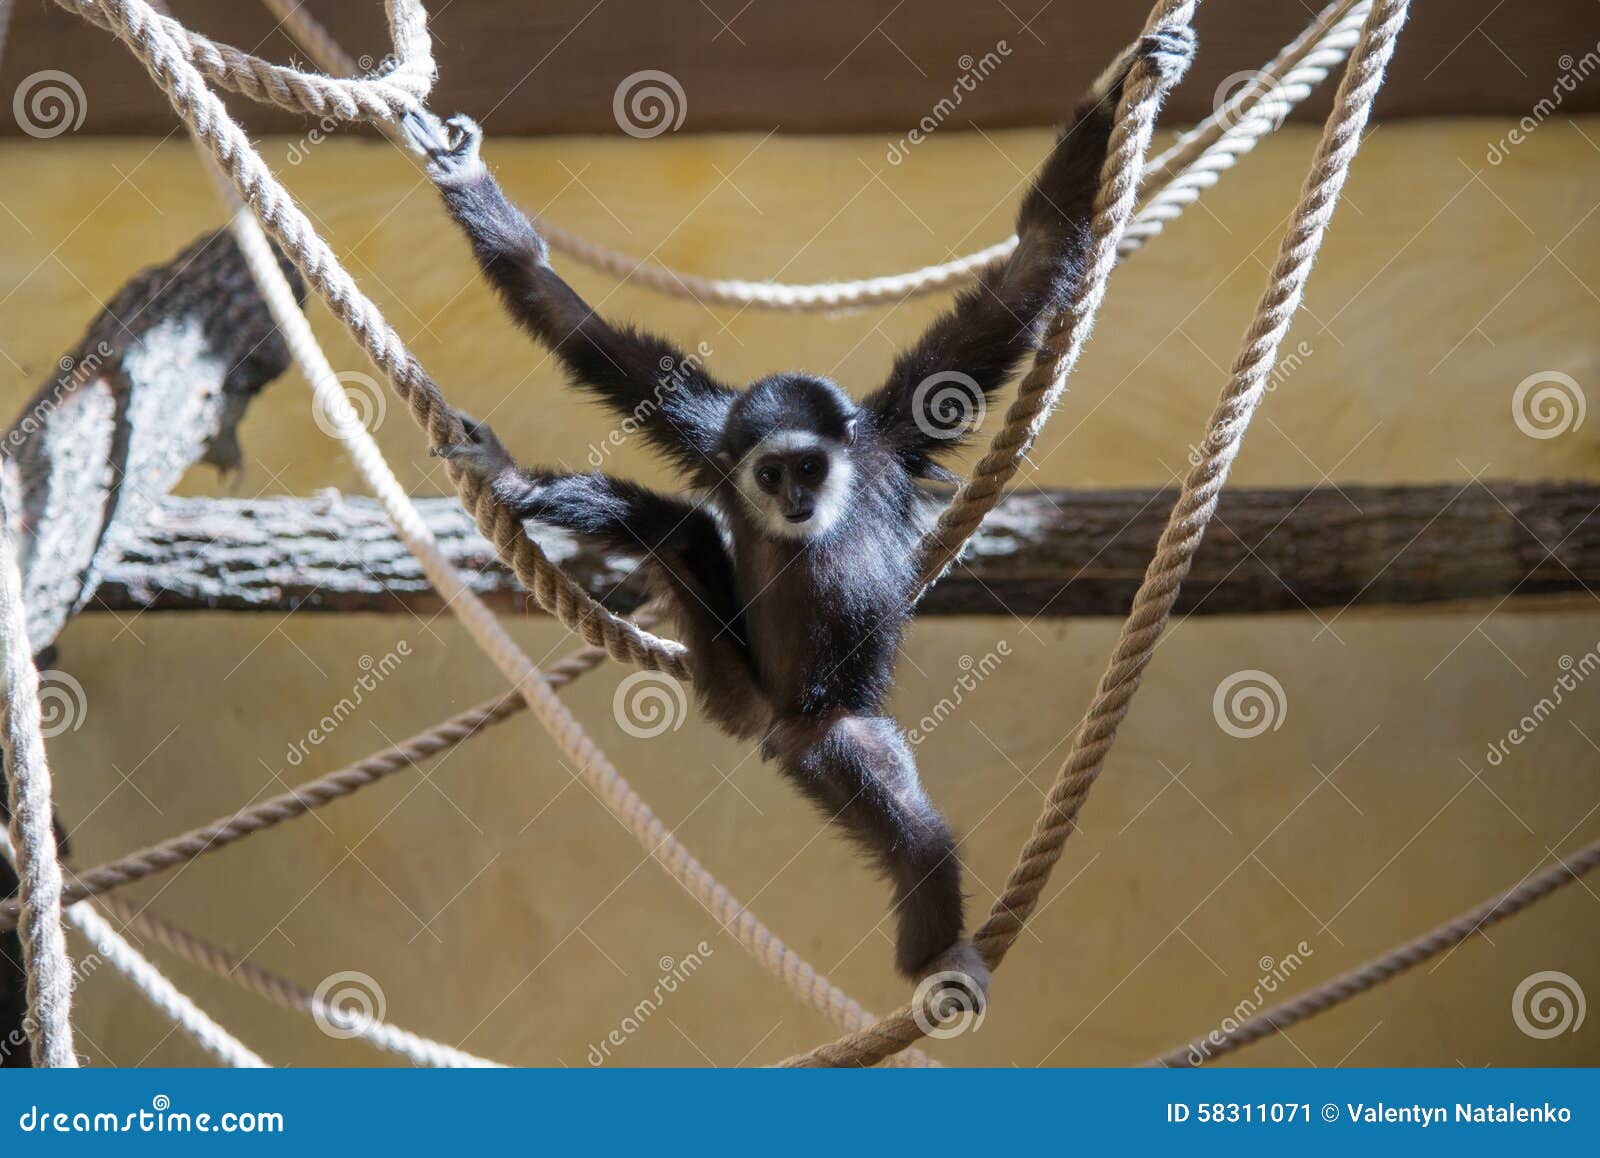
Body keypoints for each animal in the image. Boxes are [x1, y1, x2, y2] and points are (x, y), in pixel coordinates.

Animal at [402, 28, 1194, 995]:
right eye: (771, 472)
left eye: (809, 465)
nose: (796, 495)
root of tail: (774, 723)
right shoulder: (710, 433)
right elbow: (576, 328)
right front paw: (466, 181)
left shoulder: (893, 436)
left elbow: (1032, 264)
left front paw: (1125, 77)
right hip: (772, 704)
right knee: (681, 532)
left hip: (829, 723)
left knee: (912, 831)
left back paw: (933, 958)